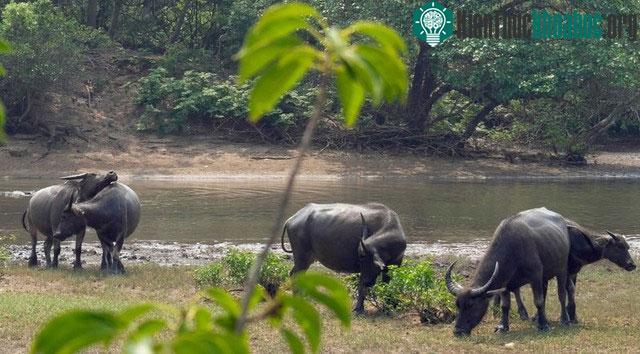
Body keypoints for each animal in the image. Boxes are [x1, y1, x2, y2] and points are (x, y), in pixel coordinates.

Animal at [444, 207, 576, 334]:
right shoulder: (504, 281)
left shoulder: (536, 276)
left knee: (562, 294)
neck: (512, 250)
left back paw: (565, 320)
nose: (458, 331)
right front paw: (503, 327)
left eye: (471, 305)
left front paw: (543, 326)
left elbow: (538, 301)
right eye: (457, 305)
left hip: (562, 270)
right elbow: (505, 305)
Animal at [492, 224, 632, 324]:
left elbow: (570, 289)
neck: (579, 243)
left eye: (628, 247)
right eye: (619, 246)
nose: (632, 264)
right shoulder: (557, 272)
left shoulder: (571, 272)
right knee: (513, 288)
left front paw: (572, 316)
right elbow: (551, 293)